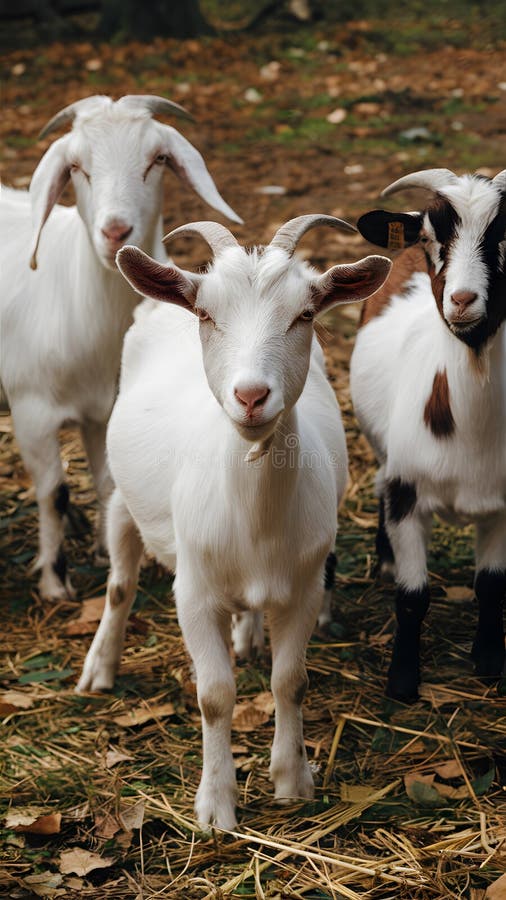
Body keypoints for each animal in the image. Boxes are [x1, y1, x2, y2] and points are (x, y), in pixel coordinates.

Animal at [0, 94, 241, 602]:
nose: (116, 232)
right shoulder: (31, 411)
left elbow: (108, 481)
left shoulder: (104, 409)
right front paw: (55, 580)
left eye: (159, 159)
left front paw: (104, 550)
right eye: (75, 166)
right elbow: (53, 492)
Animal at [77, 216, 391, 829]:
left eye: (305, 314)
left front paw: (293, 780)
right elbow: (215, 695)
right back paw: (100, 666)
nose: (250, 395)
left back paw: (247, 635)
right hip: (125, 502)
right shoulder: (194, 593)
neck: (256, 516)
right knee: (121, 584)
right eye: (206, 315)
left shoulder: (304, 587)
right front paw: (216, 805)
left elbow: (290, 682)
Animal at [350, 168, 506, 703]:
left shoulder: (501, 504)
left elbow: (491, 587)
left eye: (505, 235)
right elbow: (413, 597)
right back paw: (384, 560)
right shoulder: (407, 493)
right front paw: (402, 681)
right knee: (378, 478)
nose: (462, 300)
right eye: (430, 240)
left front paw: (488, 661)